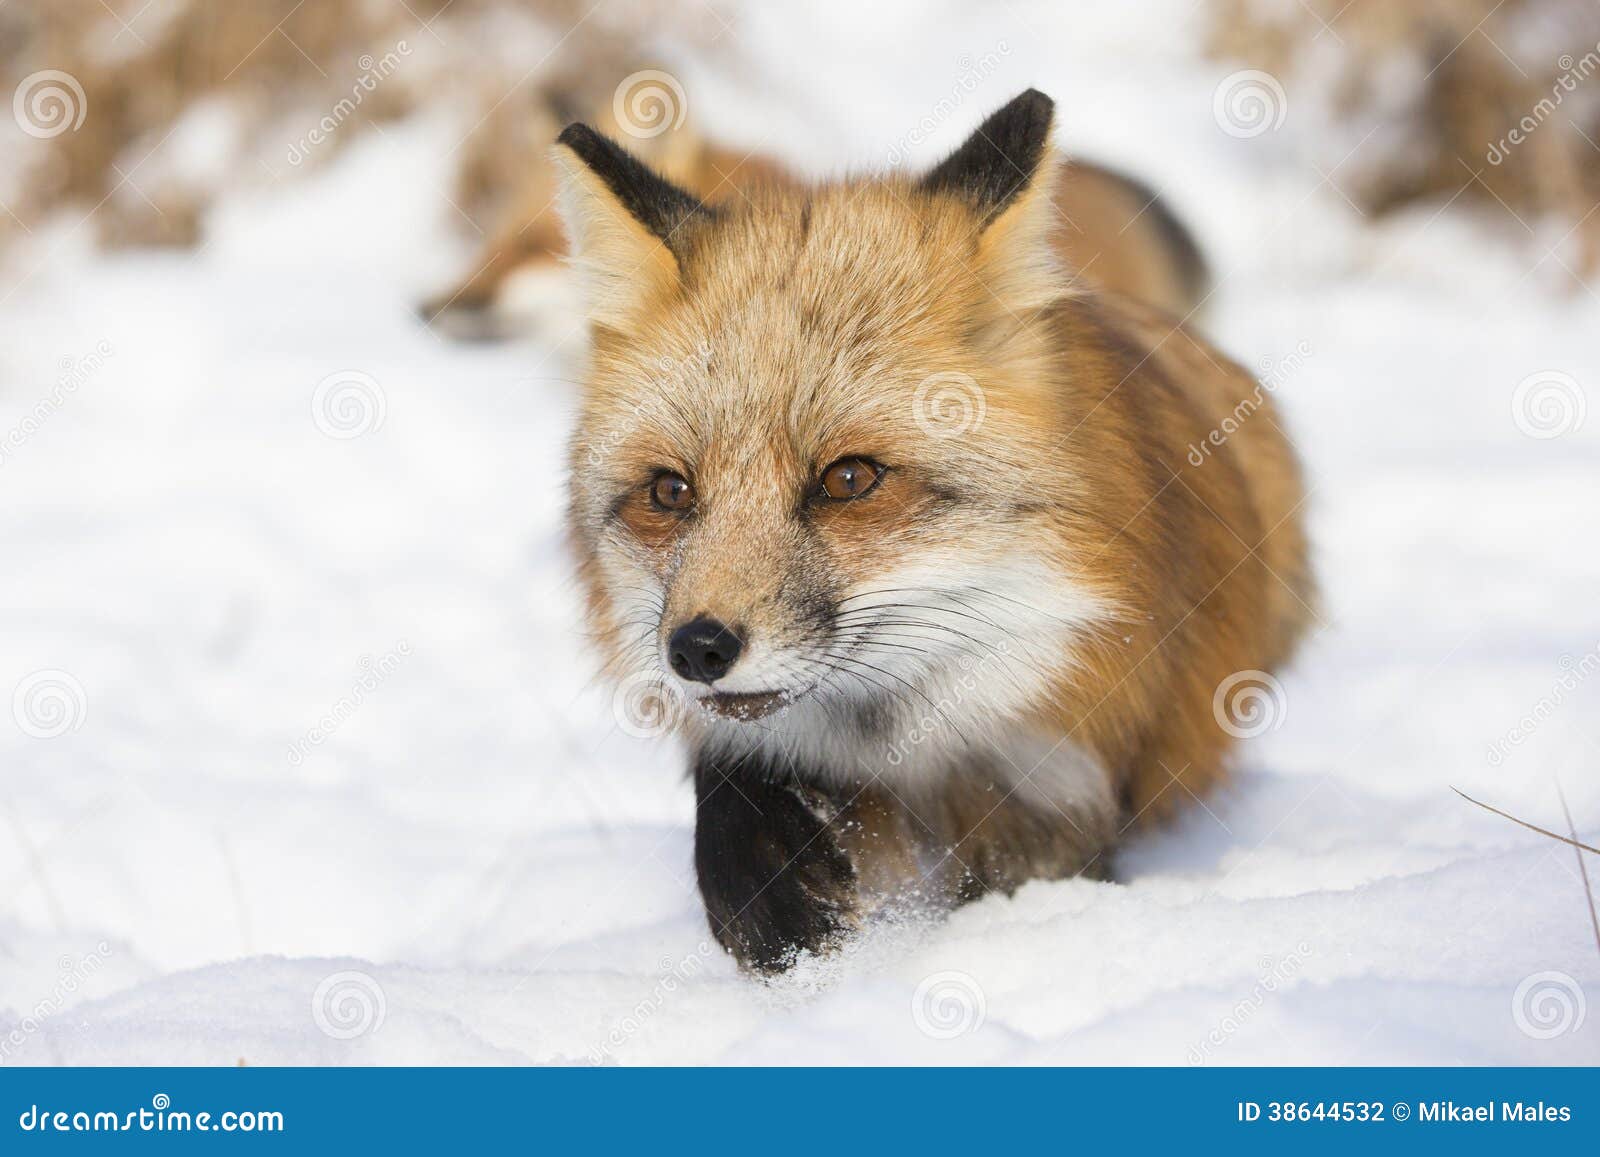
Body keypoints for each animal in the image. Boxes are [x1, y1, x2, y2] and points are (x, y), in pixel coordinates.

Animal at [558, 89, 1313, 973]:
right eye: (670, 491)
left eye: (850, 479)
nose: (699, 649)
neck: (908, 753)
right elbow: (737, 793)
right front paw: (771, 900)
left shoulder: (1061, 766)